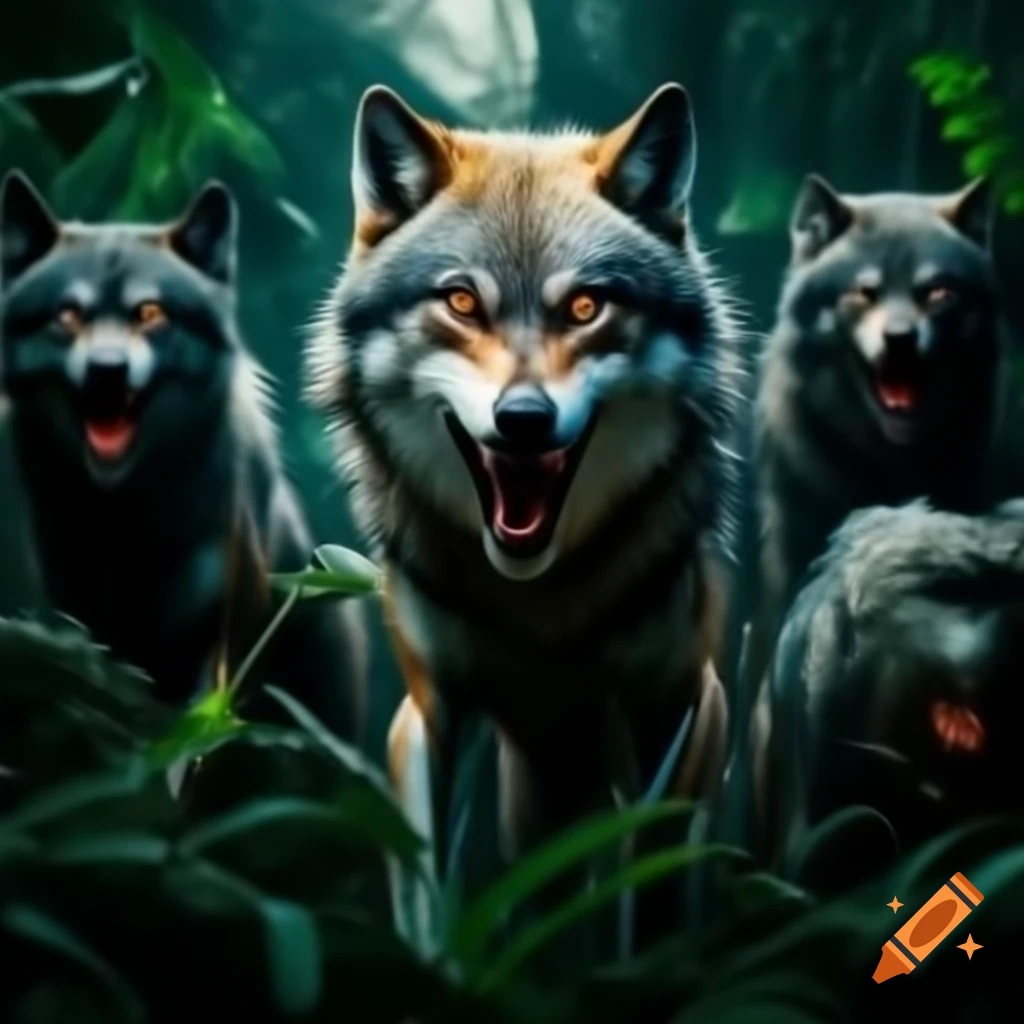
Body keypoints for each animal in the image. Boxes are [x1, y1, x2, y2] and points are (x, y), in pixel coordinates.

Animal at [0, 172, 366, 739]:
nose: (107, 370)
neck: (129, 512)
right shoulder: (75, 602)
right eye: (68, 315)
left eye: (150, 313)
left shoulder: (232, 602)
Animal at [307, 82, 744, 896]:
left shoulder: (680, 708)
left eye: (585, 307)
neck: (540, 604)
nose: (524, 420)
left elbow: (654, 884)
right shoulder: (428, 714)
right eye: (461, 303)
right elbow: (435, 891)